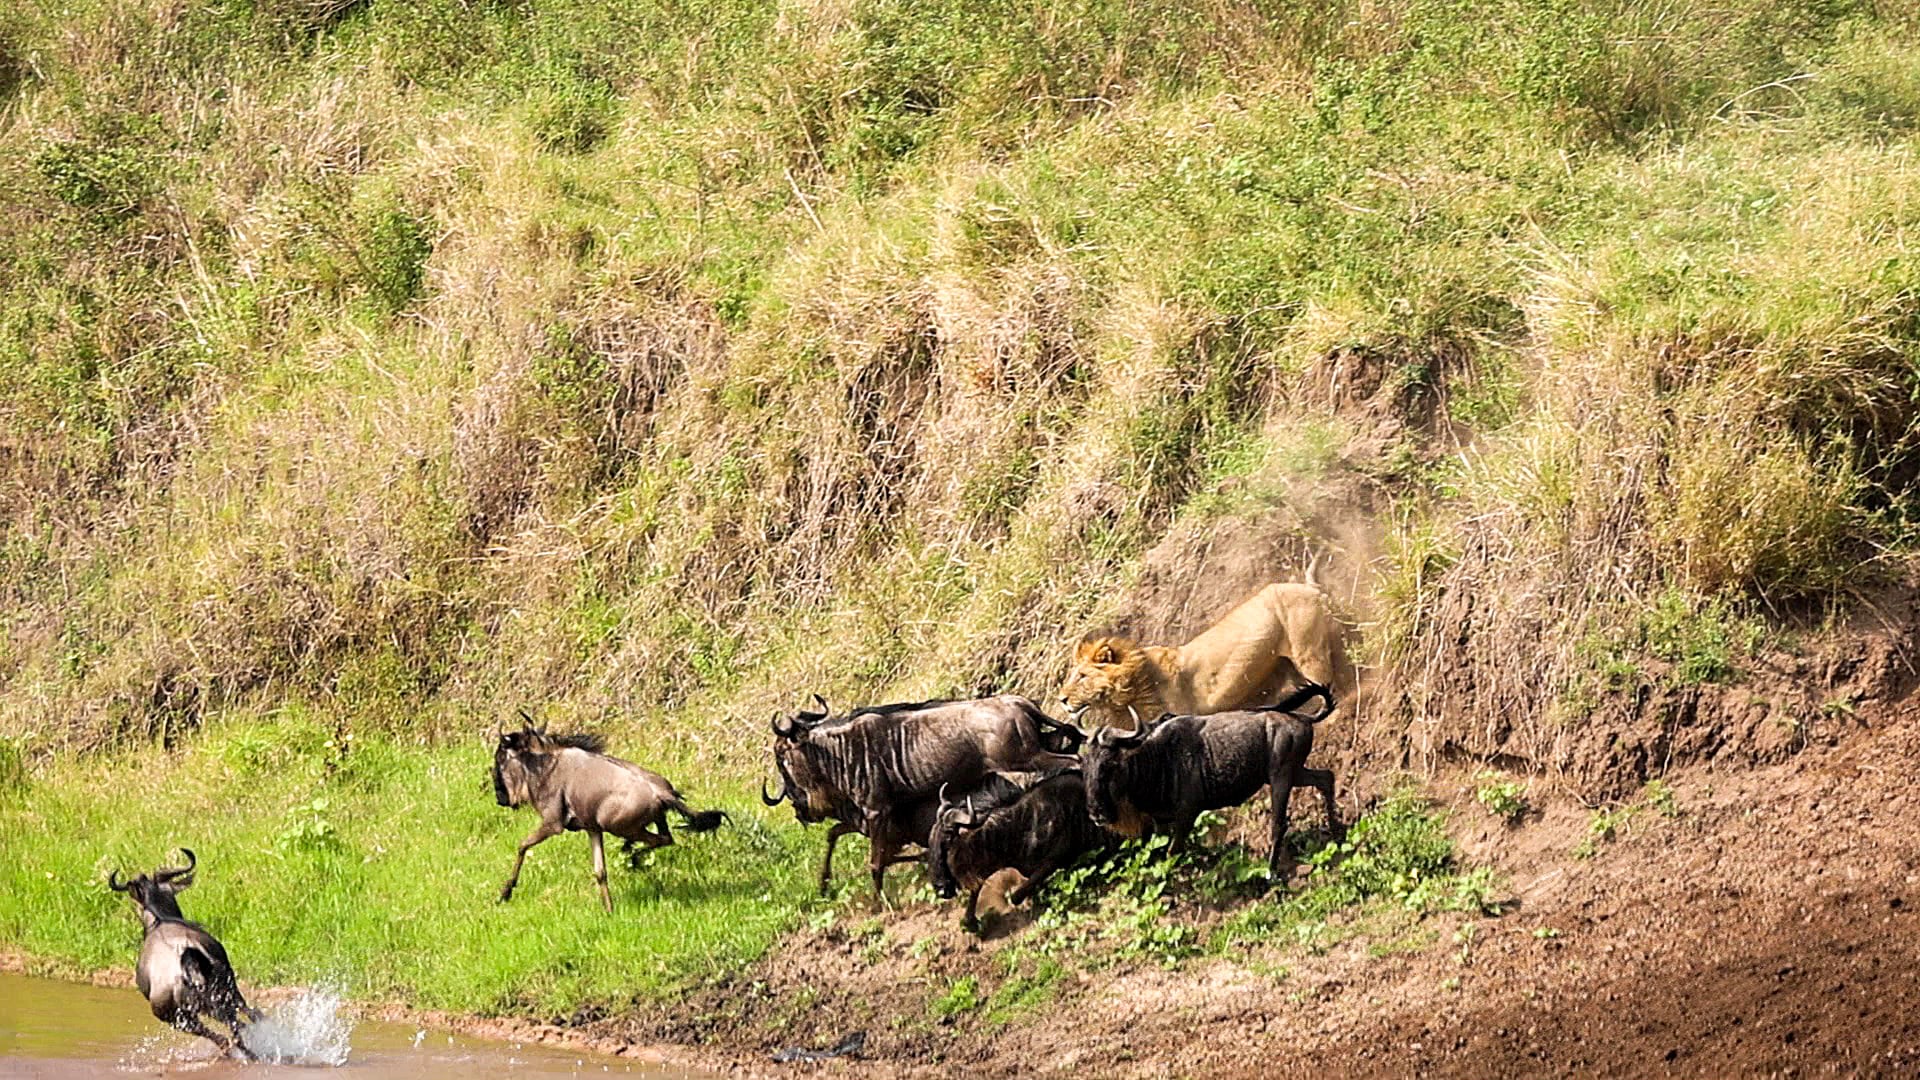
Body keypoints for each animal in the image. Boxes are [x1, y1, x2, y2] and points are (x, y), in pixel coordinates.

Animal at [1059, 582, 1357, 730]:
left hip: (1308, 653)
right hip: (1294, 666)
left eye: (1082, 676)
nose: (1061, 700)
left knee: (1333, 689)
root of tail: (1313, 588)